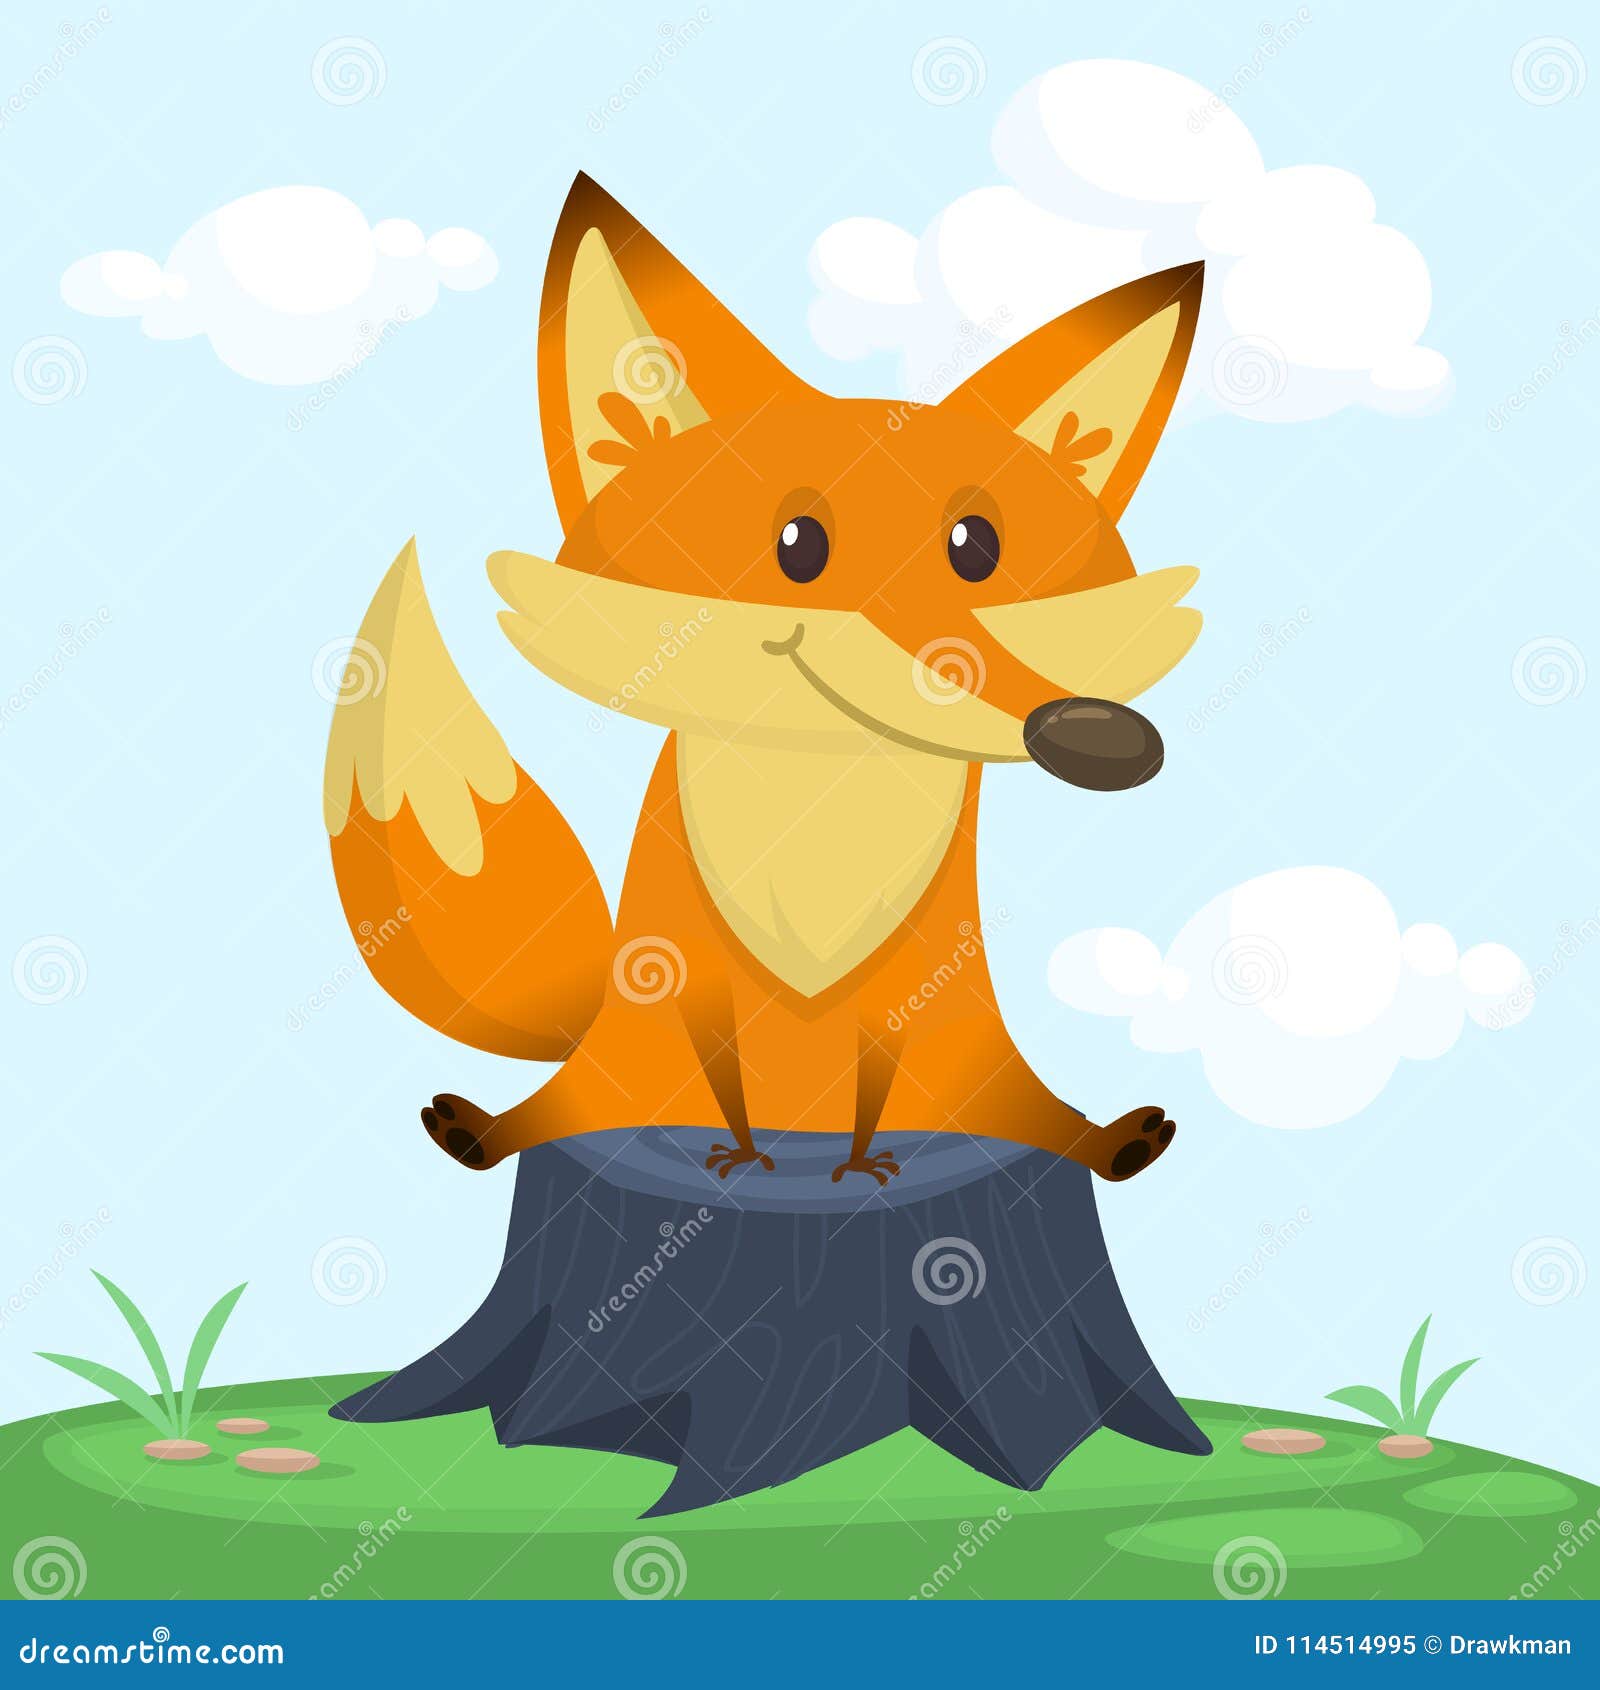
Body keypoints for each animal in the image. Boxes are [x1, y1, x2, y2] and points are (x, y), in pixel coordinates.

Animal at [323, 173, 1204, 1188]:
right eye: (797, 547)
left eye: (977, 549)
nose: (1098, 737)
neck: (814, 811)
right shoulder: (679, 974)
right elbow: (724, 1072)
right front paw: (744, 1156)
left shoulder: (926, 991)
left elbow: (878, 1085)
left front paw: (857, 1166)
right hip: (621, 1050)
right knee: (556, 1111)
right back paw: (491, 1131)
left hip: (978, 1061)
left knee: (1034, 1117)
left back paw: (1107, 1141)